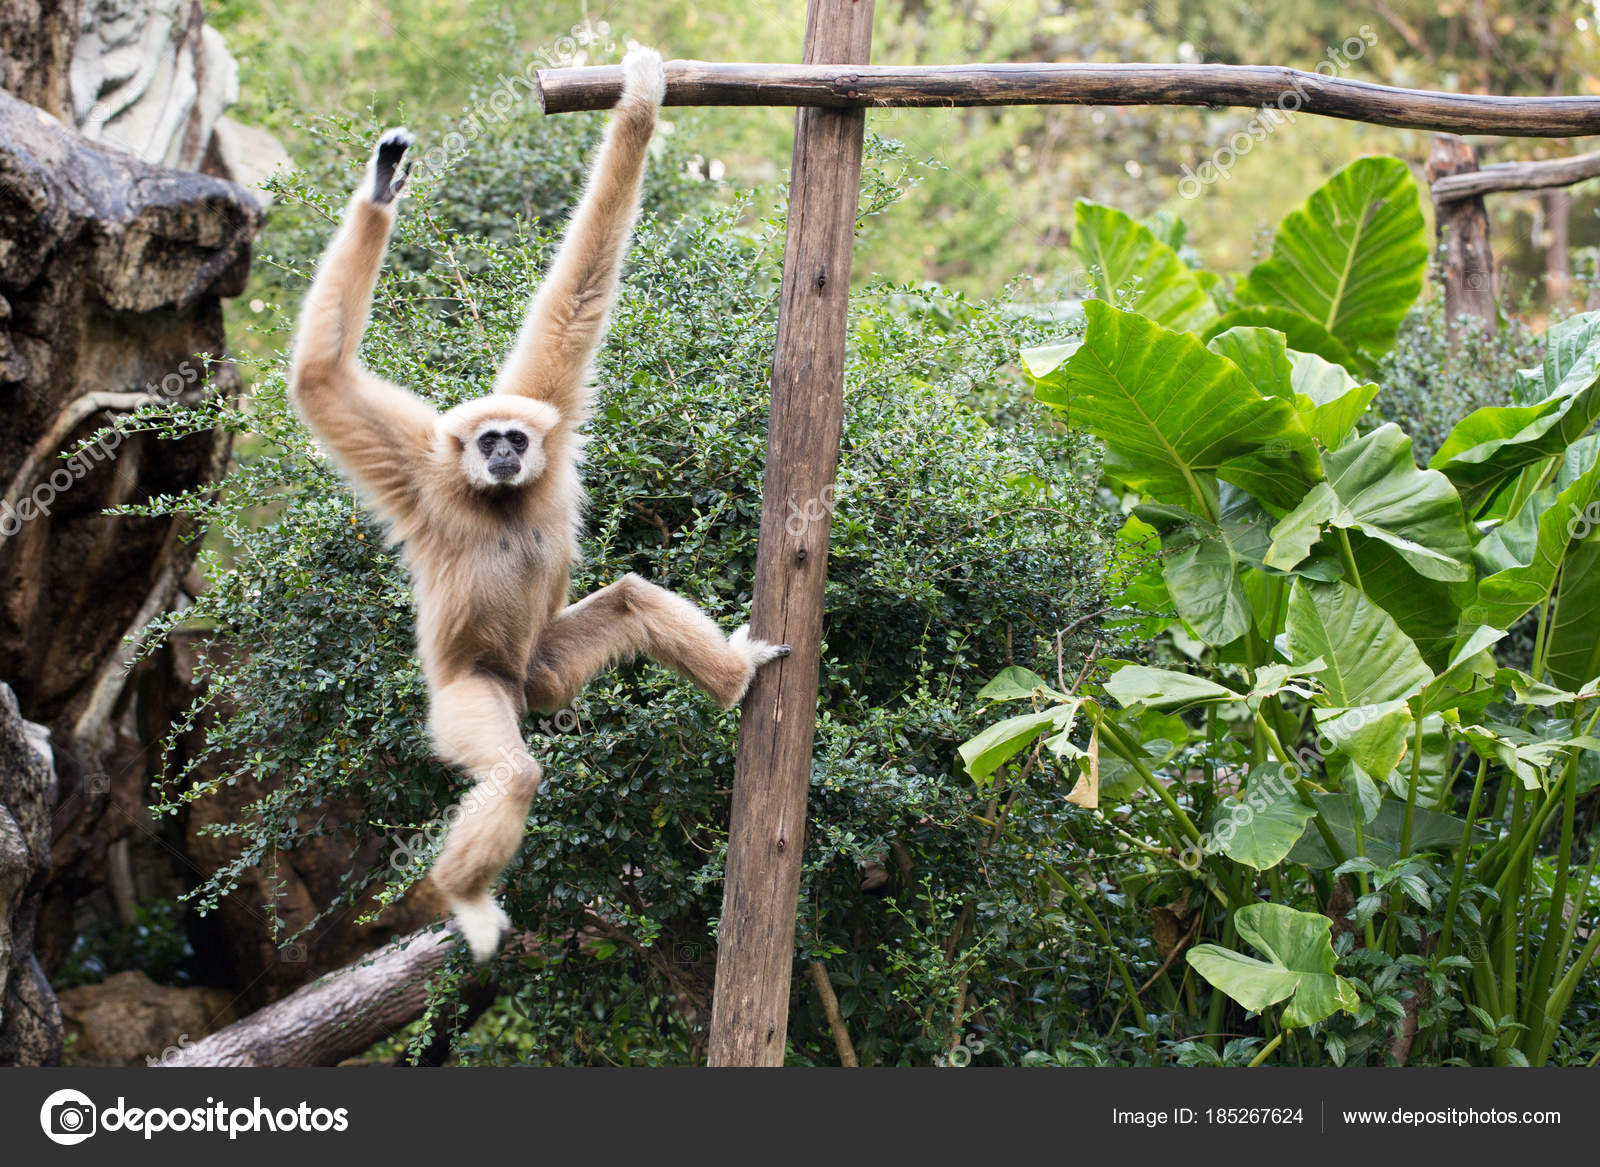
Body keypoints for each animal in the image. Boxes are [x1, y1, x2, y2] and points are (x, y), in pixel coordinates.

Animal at [287, 49, 788, 962]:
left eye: (514, 436)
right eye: (488, 441)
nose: (506, 453)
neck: (503, 501)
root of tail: (522, 688)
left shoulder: (546, 412)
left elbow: (579, 296)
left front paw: (639, 104)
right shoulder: (424, 472)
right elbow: (321, 379)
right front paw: (379, 189)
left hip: (549, 665)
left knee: (629, 599)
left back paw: (733, 677)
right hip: (466, 694)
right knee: (513, 770)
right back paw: (466, 896)